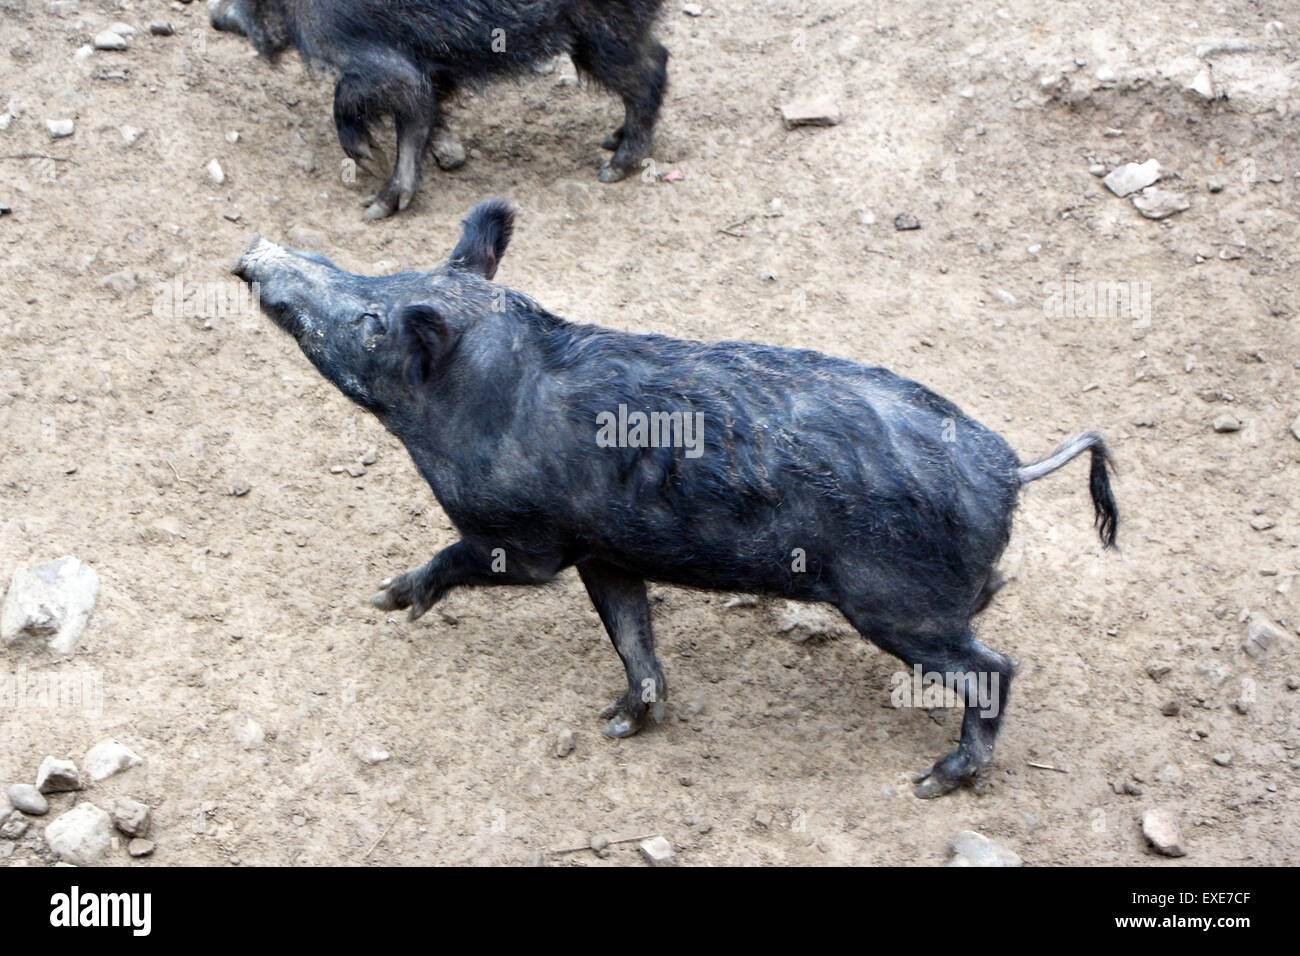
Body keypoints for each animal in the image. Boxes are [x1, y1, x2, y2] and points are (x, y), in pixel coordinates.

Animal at [209, 0, 669, 219]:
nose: (214, 18)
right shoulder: (433, 66)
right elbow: (426, 115)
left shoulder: (379, 59)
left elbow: (366, 98)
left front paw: (372, 192)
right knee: (655, 58)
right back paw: (610, 140)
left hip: (605, 33)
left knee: (652, 70)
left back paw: (613, 168)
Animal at [232, 199, 1119, 797]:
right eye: (378, 272)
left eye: (369, 318)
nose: (255, 249)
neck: (484, 397)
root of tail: (1008, 468)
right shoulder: (605, 550)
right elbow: (634, 637)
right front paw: (618, 724)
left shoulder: (524, 543)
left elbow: (460, 560)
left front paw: (386, 600)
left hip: (900, 604)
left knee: (996, 668)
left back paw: (937, 780)